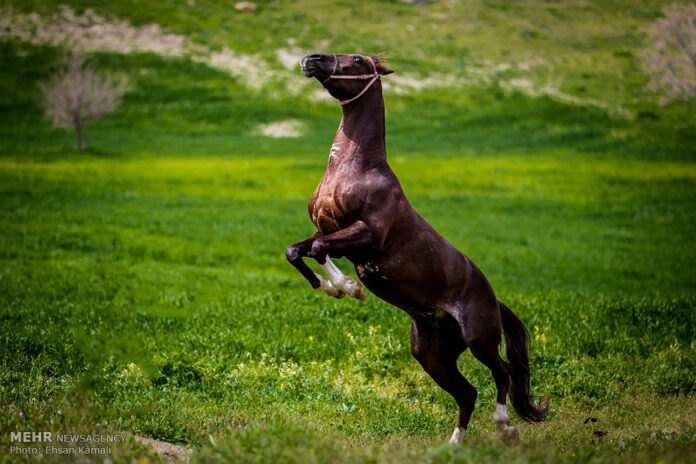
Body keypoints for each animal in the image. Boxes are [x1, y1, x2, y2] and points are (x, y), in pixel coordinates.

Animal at [286, 52, 548, 445]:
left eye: (357, 59)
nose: (312, 58)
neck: (353, 168)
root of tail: (494, 298)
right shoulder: (328, 228)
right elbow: (296, 251)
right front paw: (330, 288)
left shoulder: (367, 236)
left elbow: (318, 249)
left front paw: (350, 288)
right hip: (431, 355)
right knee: (468, 393)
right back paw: (453, 445)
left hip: (479, 339)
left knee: (502, 373)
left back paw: (506, 428)